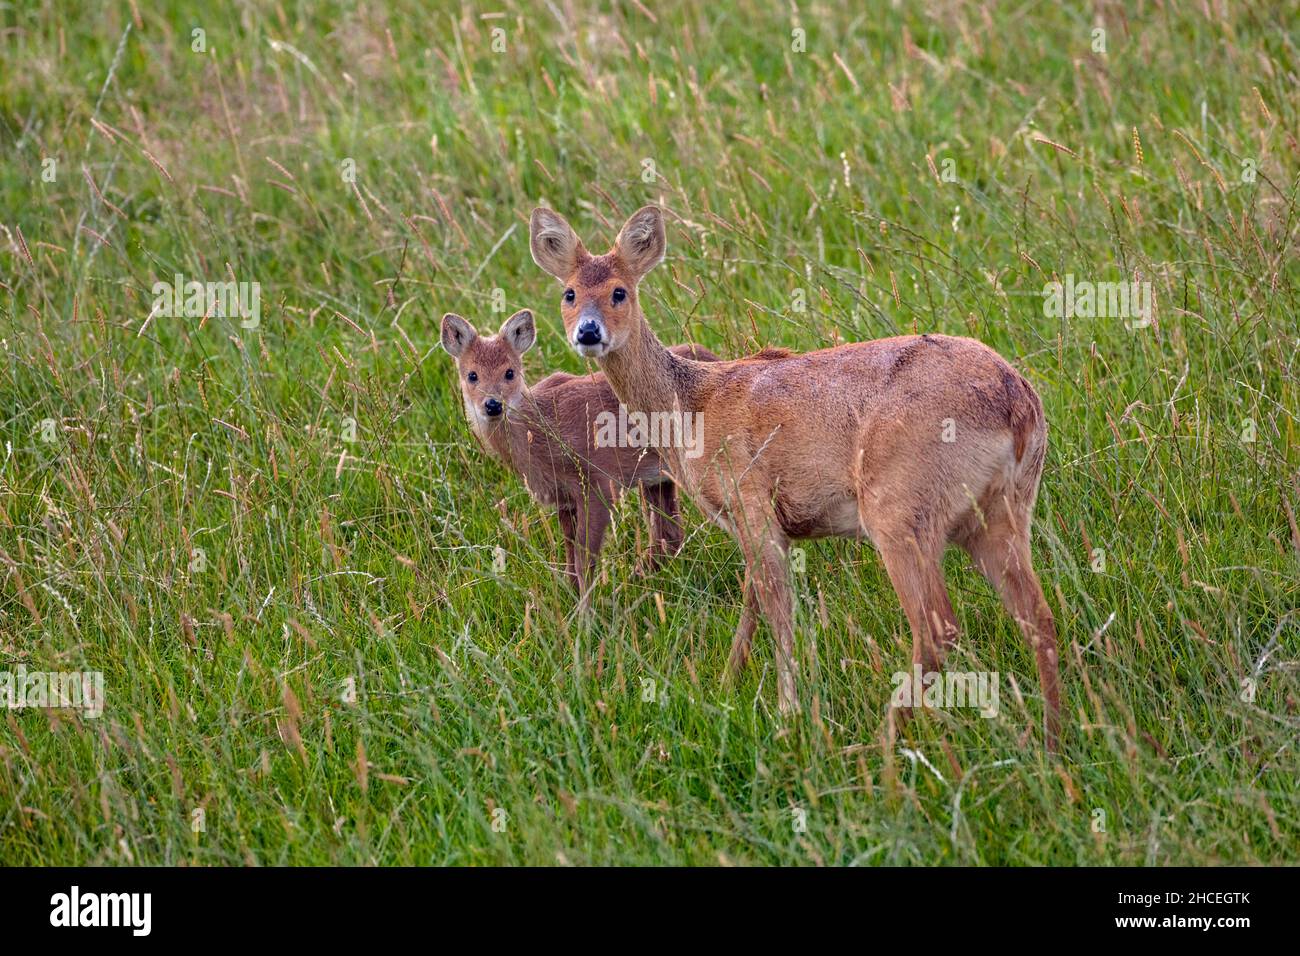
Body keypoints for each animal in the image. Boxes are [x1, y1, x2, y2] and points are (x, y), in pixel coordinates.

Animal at [440, 307, 717, 601]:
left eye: (510, 372)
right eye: (472, 375)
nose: (493, 405)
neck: (543, 432)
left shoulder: (598, 482)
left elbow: (585, 558)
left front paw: (586, 607)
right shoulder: (563, 497)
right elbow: (570, 555)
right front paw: (571, 597)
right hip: (659, 476)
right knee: (669, 534)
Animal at [529, 206, 1063, 750]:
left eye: (620, 291)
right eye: (569, 293)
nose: (588, 332)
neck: (692, 407)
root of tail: (1020, 404)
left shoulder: (751, 495)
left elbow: (777, 606)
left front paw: (787, 712)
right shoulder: (755, 519)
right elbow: (752, 600)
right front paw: (729, 683)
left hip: (899, 506)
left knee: (938, 628)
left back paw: (880, 743)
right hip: (1003, 509)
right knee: (1037, 615)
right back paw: (1051, 741)